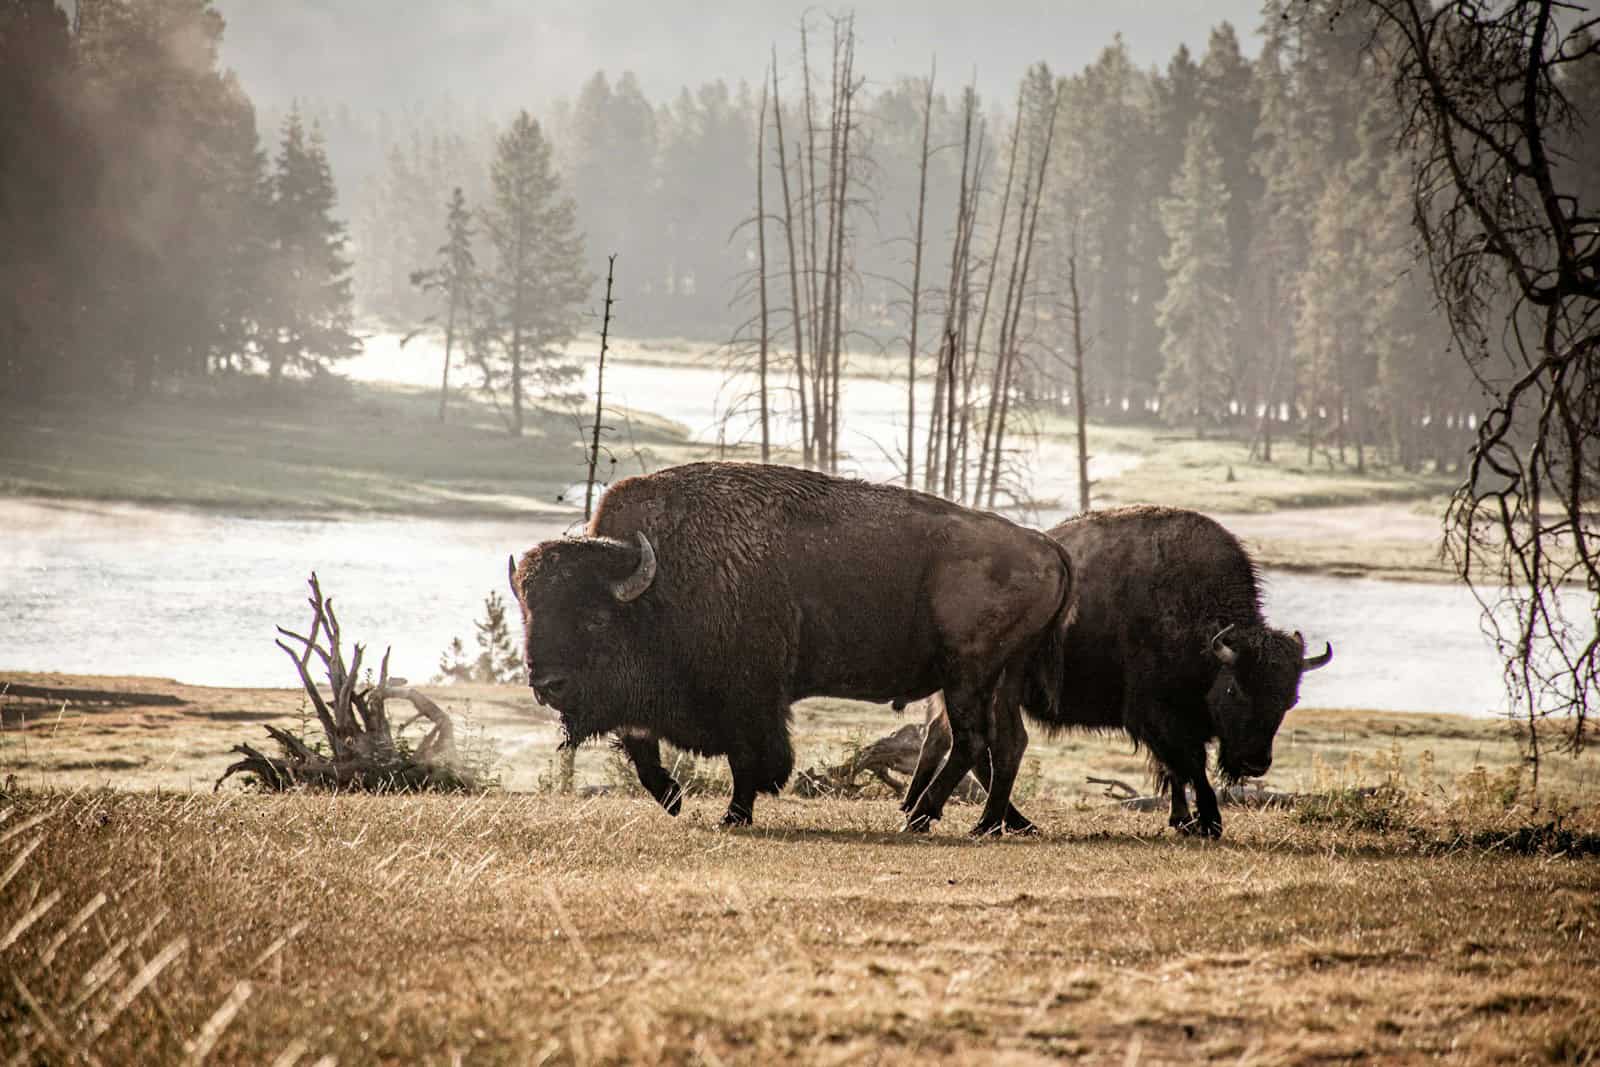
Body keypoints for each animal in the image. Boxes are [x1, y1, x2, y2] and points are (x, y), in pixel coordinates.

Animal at [509, 461, 1075, 833]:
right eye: (529, 614)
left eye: (595, 618)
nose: (546, 683)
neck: (658, 583)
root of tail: (1043, 543)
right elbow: (640, 745)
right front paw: (673, 800)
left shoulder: (750, 698)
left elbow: (748, 758)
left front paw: (733, 816)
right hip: (1002, 676)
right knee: (1006, 743)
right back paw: (990, 823)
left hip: (967, 675)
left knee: (972, 740)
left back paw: (921, 817)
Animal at [905, 505, 1332, 838]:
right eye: (1235, 690)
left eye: (1289, 699)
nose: (1255, 763)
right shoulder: (1156, 716)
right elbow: (1189, 765)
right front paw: (1208, 822)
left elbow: (1175, 770)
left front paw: (1183, 820)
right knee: (977, 745)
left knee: (949, 739)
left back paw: (927, 807)